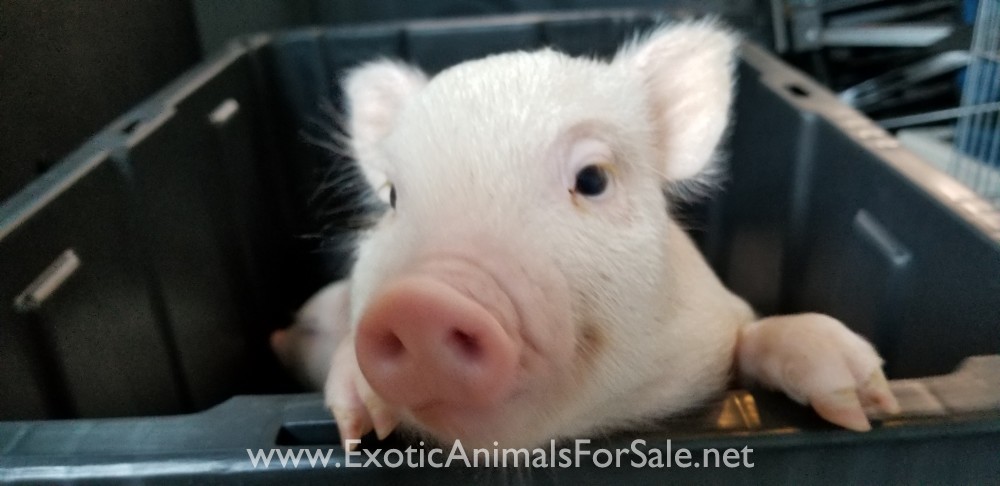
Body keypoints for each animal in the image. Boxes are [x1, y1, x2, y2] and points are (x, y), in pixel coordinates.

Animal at [272, 20, 900, 450]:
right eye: (395, 197)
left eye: (593, 178)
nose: (419, 302)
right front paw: (357, 423)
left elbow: (754, 338)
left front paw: (867, 405)